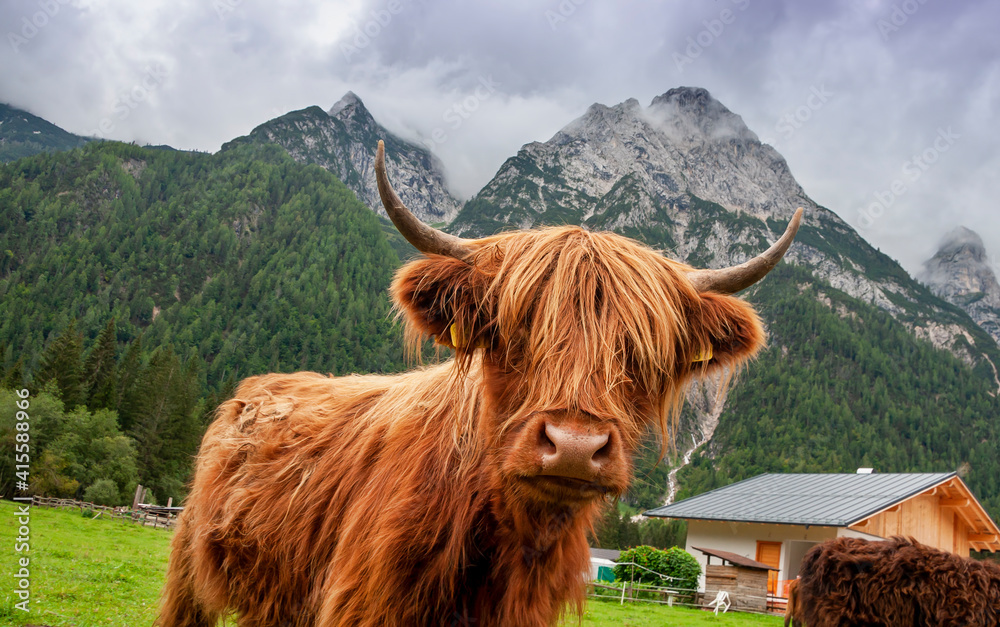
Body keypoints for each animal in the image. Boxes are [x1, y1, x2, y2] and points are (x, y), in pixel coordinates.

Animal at [157, 140, 803, 627]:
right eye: (511, 334)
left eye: (640, 354)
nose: (574, 447)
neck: (503, 542)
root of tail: (256, 387)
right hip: (187, 564)